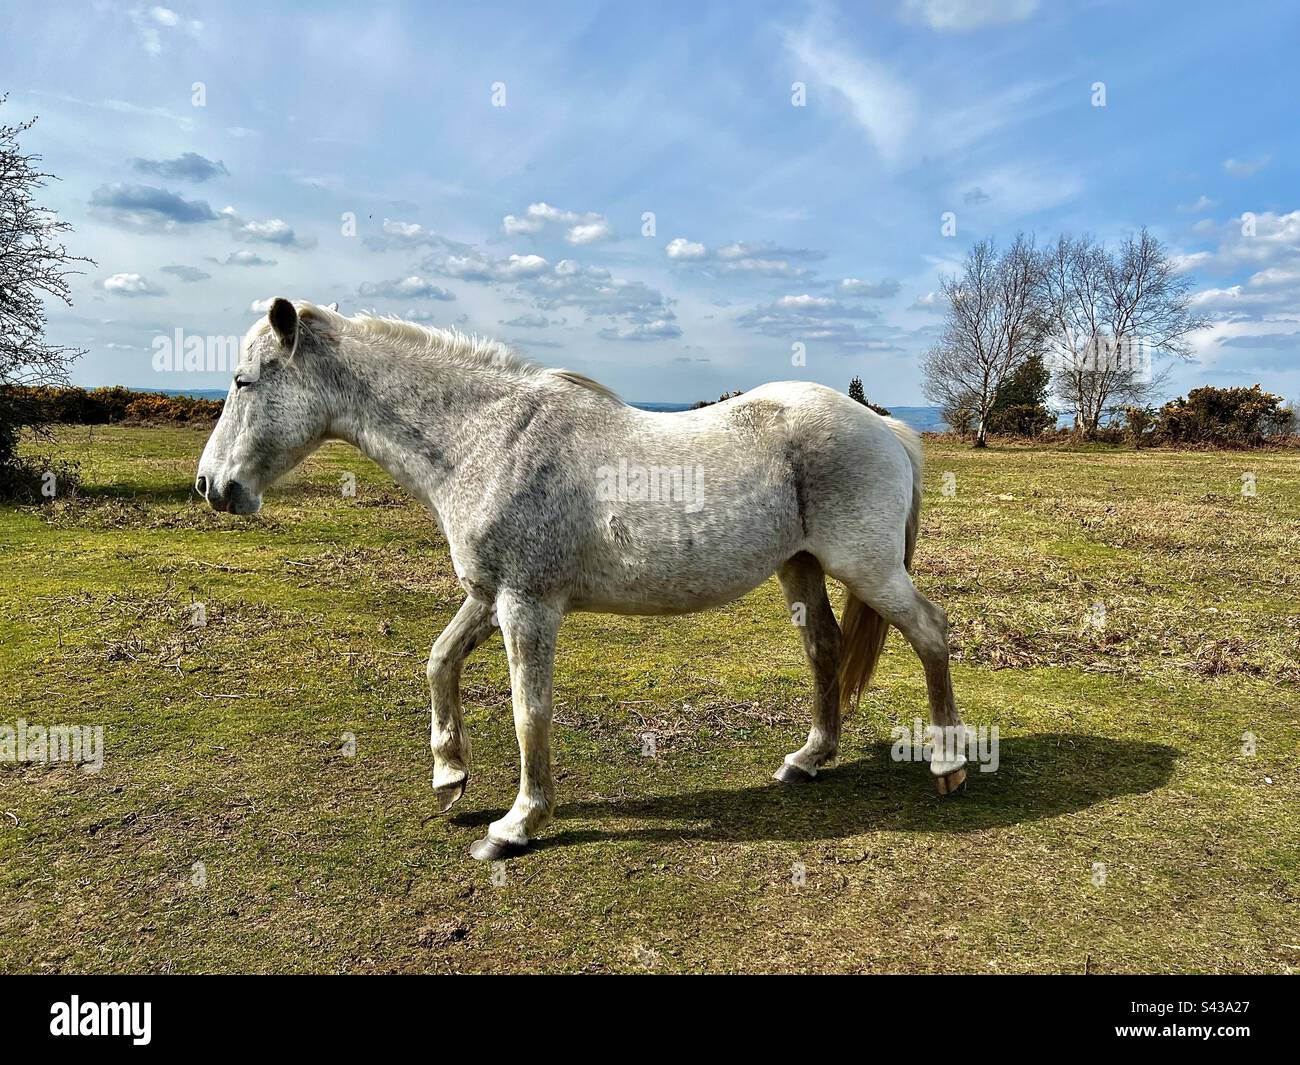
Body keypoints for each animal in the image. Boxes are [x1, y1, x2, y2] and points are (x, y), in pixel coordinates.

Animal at [196, 298, 967, 860]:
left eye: (243, 381)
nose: (211, 486)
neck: (487, 440)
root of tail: (884, 427)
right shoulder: (490, 596)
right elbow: (439, 661)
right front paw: (450, 775)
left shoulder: (526, 606)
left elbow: (527, 711)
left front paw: (516, 825)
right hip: (800, 568)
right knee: (825, 650)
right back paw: (808, 758)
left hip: (865, 567)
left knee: (931, 632)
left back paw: (948, 764)